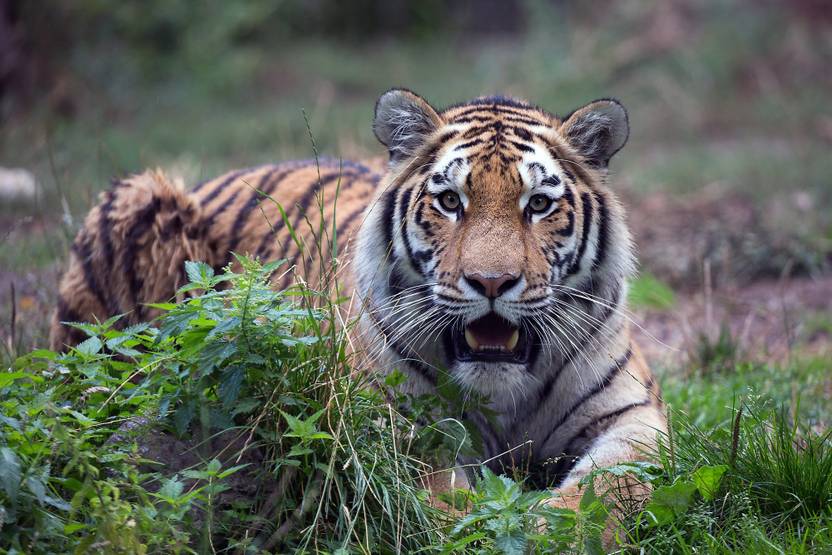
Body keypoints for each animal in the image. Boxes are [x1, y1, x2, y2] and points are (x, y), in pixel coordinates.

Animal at [50, 88, 667, 515]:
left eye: (538, 204)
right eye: (449, 201)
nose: (491, 283)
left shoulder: (633, 418)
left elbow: (612, 488)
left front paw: (555, 526)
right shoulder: (389, 421)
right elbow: (440, 497)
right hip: (137, 204)